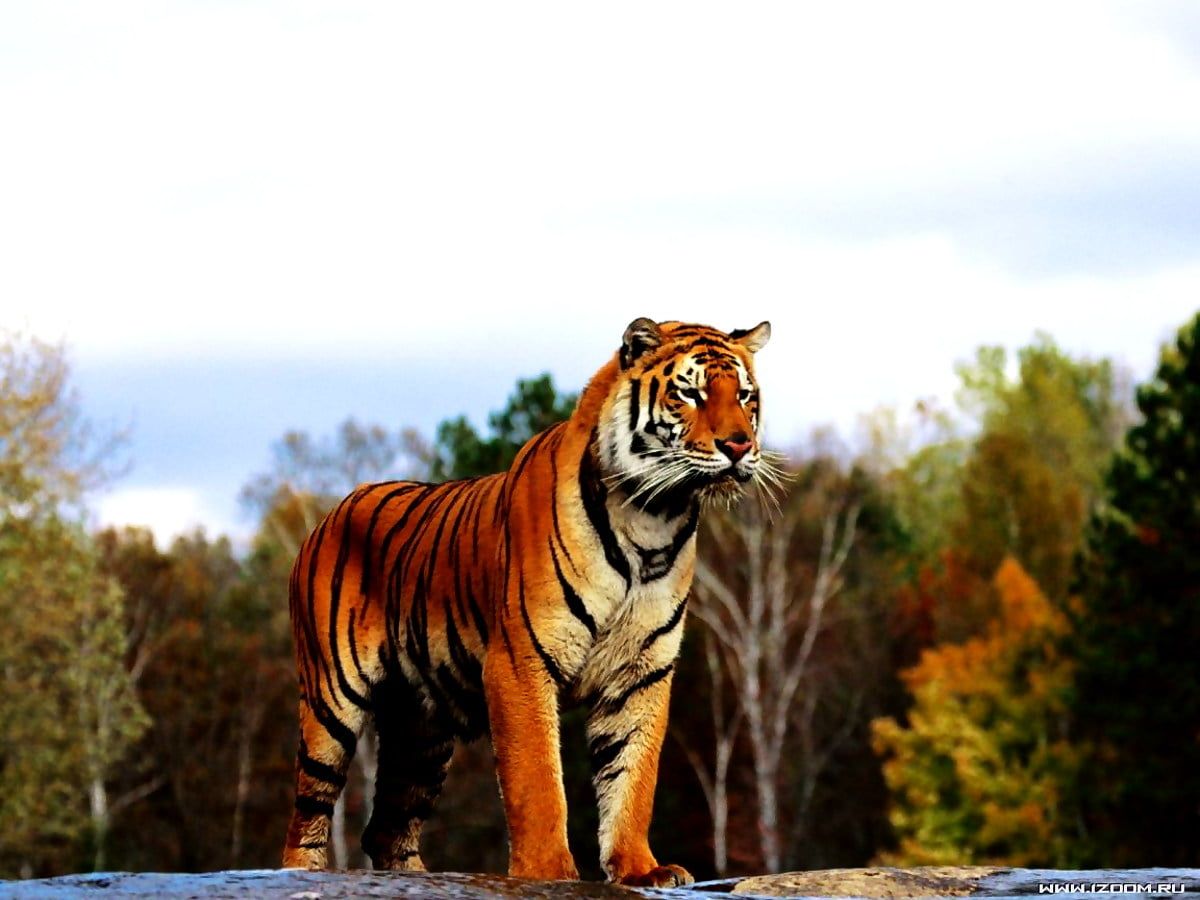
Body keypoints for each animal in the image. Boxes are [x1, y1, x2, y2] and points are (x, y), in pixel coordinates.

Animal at [282, 318, 773, 885]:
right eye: (690, 394)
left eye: (745, 395)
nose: (739, 446)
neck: (653, 519)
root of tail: (329, 513)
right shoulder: (521, 661)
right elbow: (538, 779)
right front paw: (548, 872)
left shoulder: (642, 672)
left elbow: (633, 775)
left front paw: (640, 868)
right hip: (331, 701)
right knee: (307, 814)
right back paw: (302, 875)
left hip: (421, 730)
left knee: (387, 826)